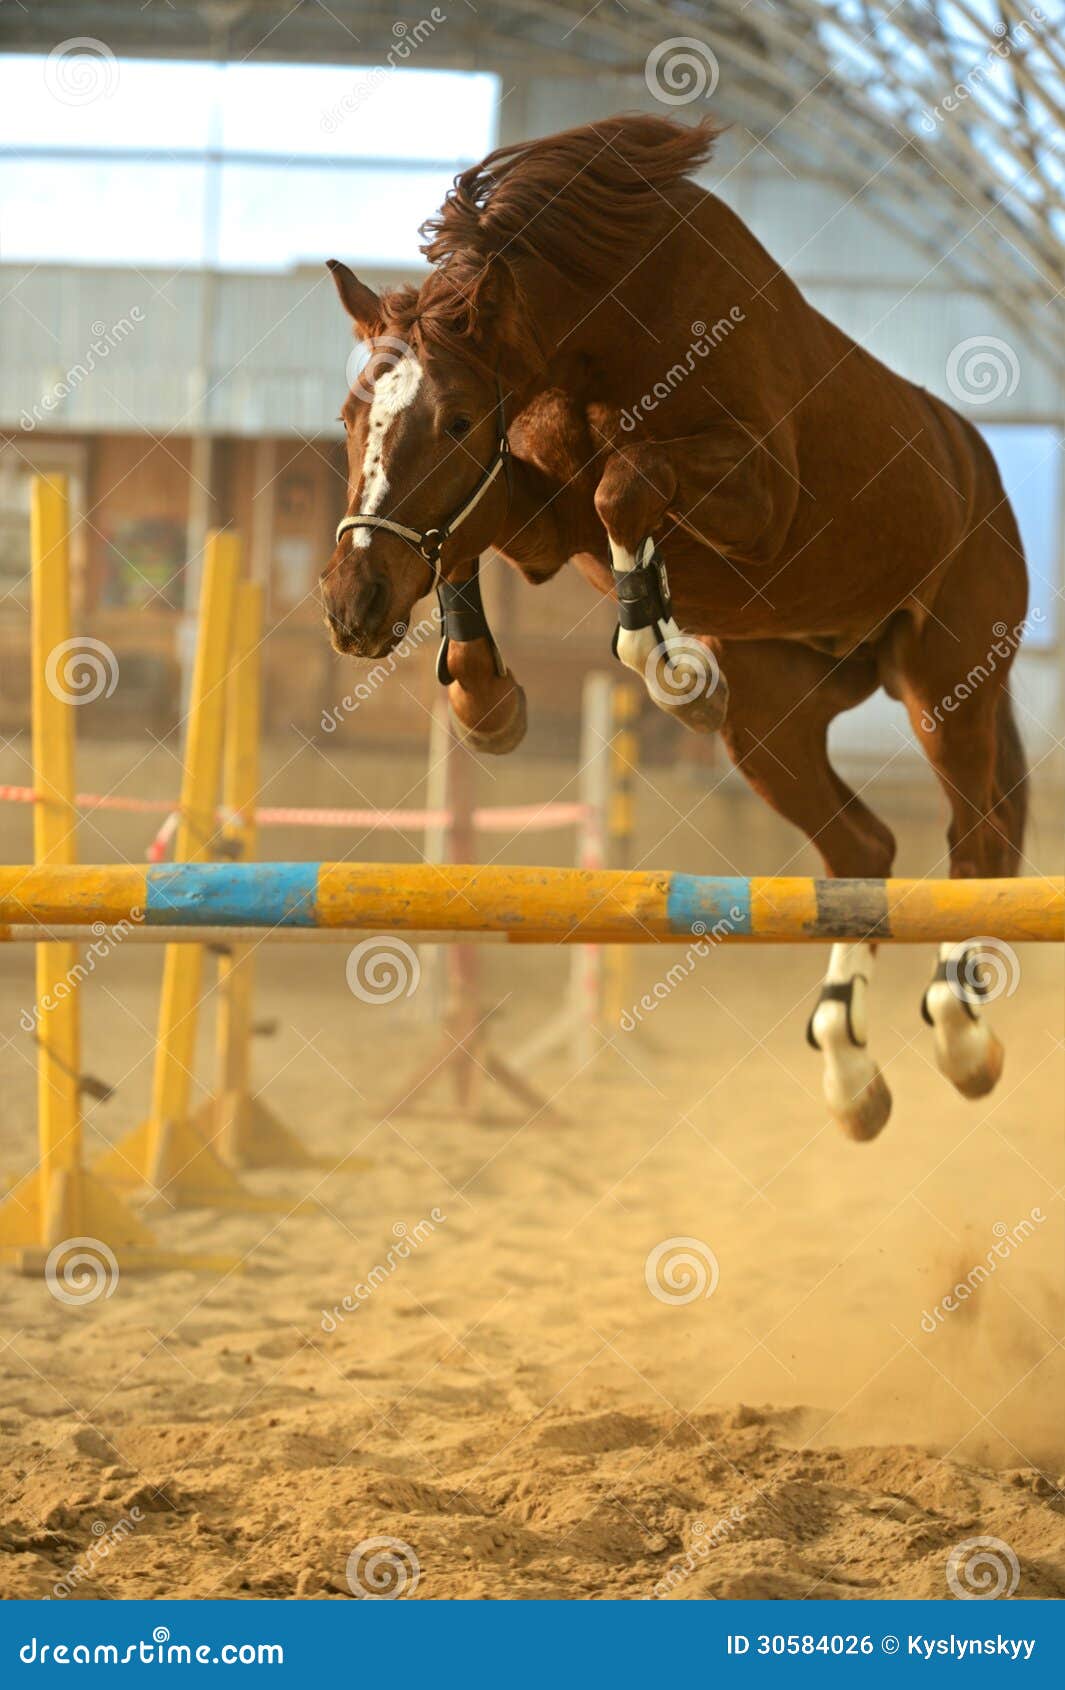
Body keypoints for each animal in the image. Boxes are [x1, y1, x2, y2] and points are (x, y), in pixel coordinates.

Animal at [320, 113, 1029, 1143]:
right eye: (351, 416)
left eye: (453, 420)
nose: (353, 608)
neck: (605, 331)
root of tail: (979, 471)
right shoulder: (543, 522)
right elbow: (480, 534)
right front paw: (487, 703)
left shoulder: (758, 496)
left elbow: (627, 486)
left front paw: (668, 665)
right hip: (771, 726)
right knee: (862, 852)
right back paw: (849, 1071)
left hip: (948, 685)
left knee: (973, 841)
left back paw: (960, 1035)